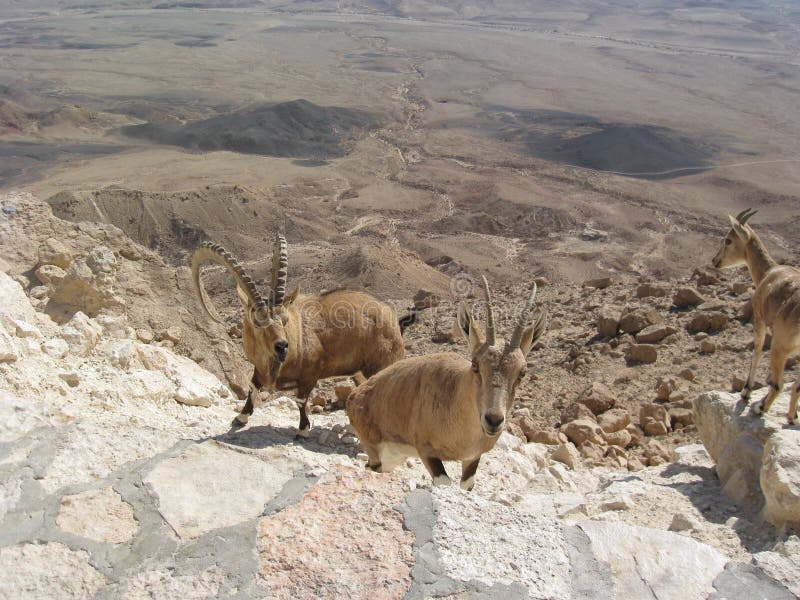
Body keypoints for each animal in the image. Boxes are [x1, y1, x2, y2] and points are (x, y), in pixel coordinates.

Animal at [191, 235, 409, 436]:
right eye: (256, 321)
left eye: (285, 319)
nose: (282, 347)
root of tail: (393, 318)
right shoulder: (259, 368)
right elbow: (253, 386)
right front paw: (241, 417)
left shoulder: (311, 374)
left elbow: (301, 400)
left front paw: (303, 430)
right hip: (359, 373)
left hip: (384, 364)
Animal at [346, 276, 548, 490]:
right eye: (475, 365)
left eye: (522, 372)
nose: (493, 420)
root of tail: (354, 397)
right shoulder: (427, 452)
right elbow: (443, 481)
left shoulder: (472, 458)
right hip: (374, 451)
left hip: (392, 458)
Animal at [712, 208, 800, 425]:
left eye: (728, 240)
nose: (715, 261)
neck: (768, 272)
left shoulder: (759, 318)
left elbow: (758, 350)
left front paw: (746, 391)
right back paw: (791, 416)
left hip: (781, 345)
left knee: (778, 384)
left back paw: (760, 408)